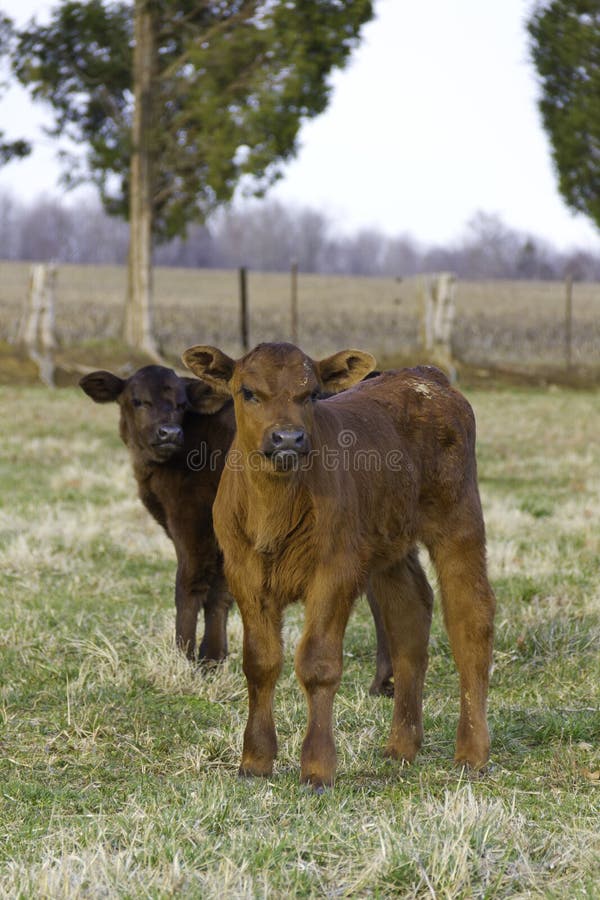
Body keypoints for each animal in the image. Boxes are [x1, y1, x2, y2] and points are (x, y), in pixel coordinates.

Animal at [79, 365, 235, 663]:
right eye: (138, 400)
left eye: (182, 405)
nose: (170, 432)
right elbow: (220, 591)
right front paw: (212, 658)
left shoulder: (192, 520)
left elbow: (188, 585)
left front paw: (183, 655)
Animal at [182, 342, 496, 790]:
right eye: (248, 392)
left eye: (312, 394)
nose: (288, 437)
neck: (275, 509)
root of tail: (425, 376)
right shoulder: (244, 573)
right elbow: (260, 662)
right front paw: (255, 761)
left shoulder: (336, 570)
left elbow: (318, 664)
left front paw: (317, 768)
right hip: (389, 543)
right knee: (409, 617)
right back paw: (402, 746)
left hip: (459, 519)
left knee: (470, 619)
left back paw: (472, 752)